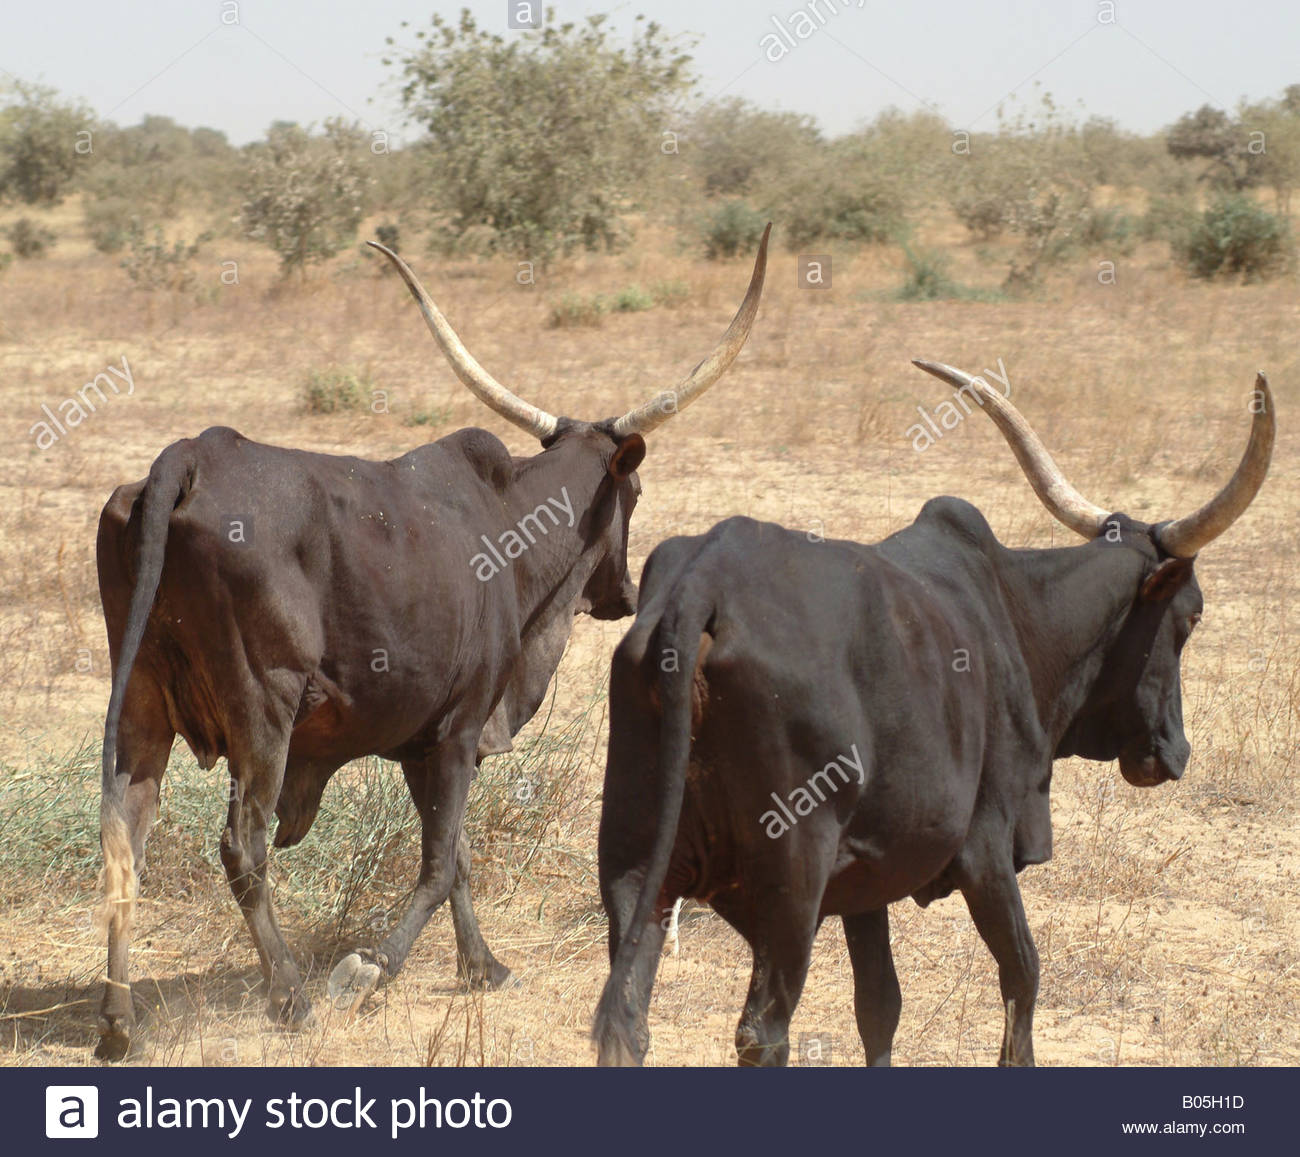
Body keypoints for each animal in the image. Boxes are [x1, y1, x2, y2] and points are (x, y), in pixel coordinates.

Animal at [93, 227, 770, 1061]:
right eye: (635, 495)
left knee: (123, 838)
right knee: (242, 848)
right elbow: (442, 861)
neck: (509, 523)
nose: (624, 594)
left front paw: (484, 965)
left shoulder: (426, 745)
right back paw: (291, 996)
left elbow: (459, 856)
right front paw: (367, 970)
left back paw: (119, 1020)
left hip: (139, 707)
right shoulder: (457, 730)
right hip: (264, 715)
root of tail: (186, 456)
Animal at [593, 360, 1274, 1067]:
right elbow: (1023, 974)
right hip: (790, 888)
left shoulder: (865, 879)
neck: (1017, 614)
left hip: (635, 869)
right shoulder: (986, 848)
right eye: (1192, 616)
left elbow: (879, 1006)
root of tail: (703, 587)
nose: (1175, 751)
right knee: (763, 1031)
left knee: (630, 1020)